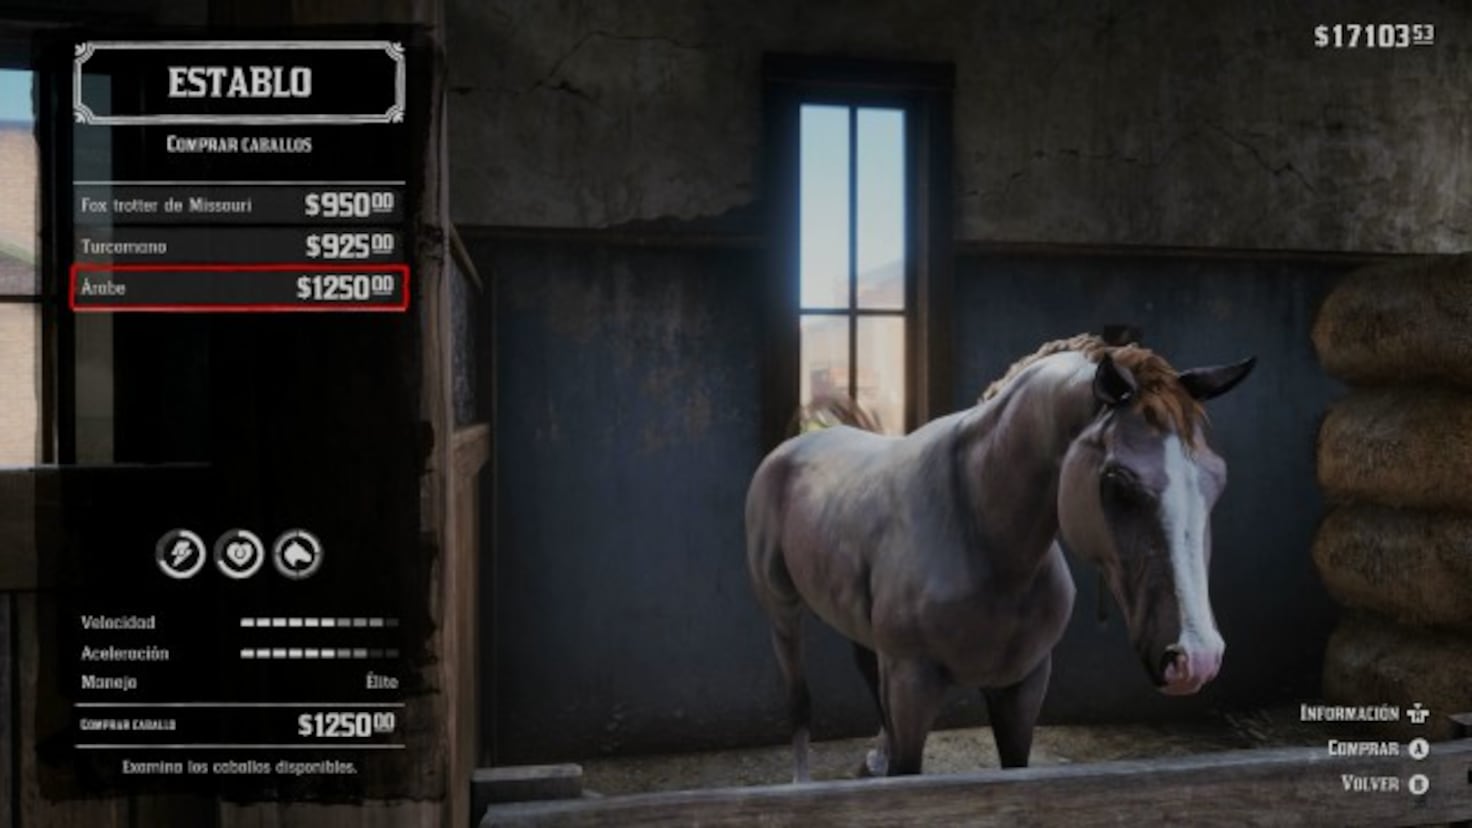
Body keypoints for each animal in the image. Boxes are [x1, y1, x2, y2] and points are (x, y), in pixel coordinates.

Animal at [745, 334, 1255, 780]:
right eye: (1117, 482)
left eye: (1218, 478)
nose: (1196, 658)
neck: (982, 535)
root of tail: (796, 445)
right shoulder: (912, 687)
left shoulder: (1022, 687)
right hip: (782, 613)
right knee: (799, 702)